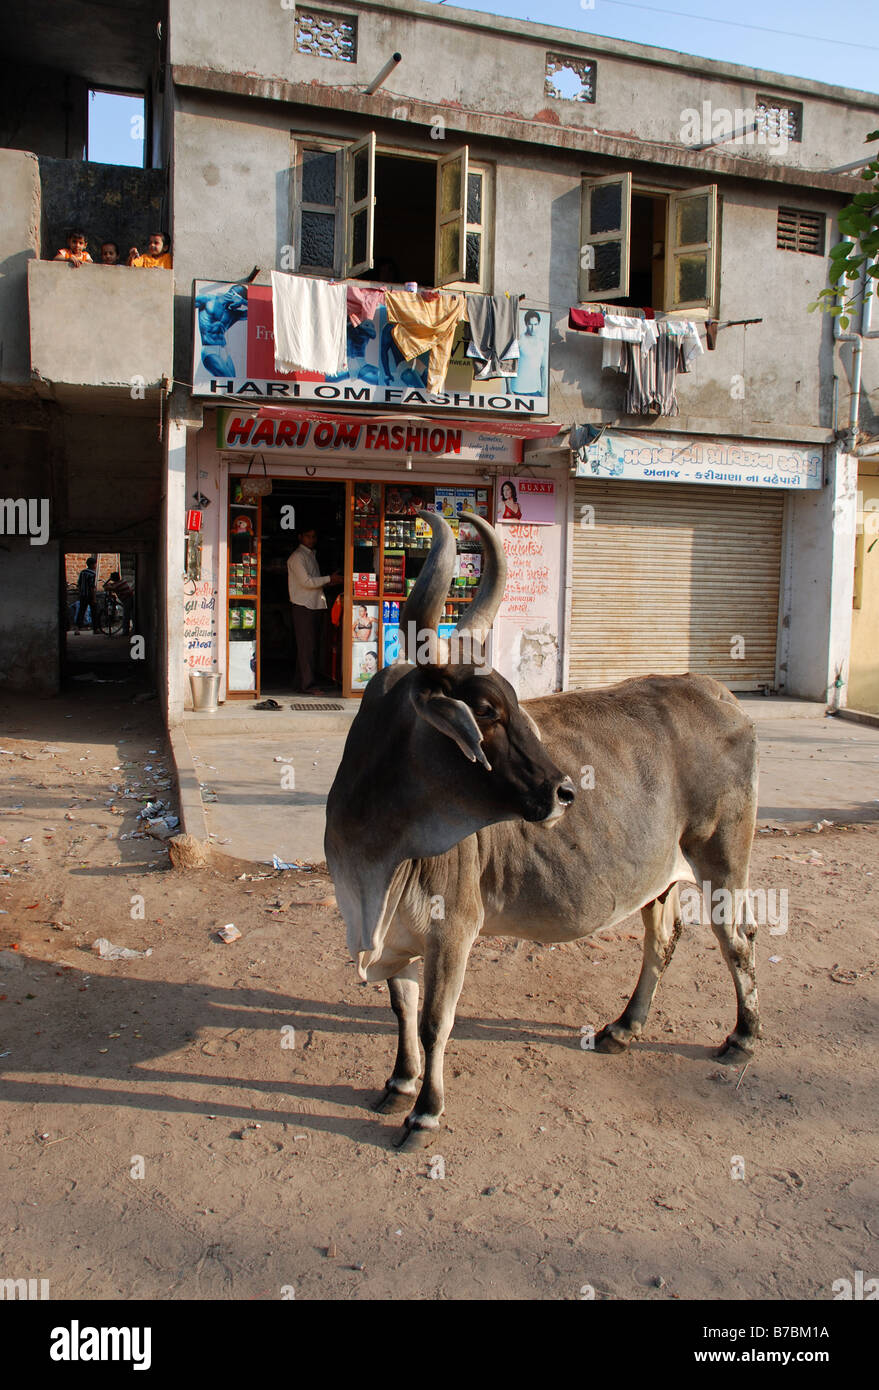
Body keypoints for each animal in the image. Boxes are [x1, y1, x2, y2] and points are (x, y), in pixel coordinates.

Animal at [325, 510, 760, 1148]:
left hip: (723, 859)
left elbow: (434, 1023)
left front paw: (425, 1112)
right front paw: (399, 1084)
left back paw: (744, 1036)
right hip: (660, 878)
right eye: (485, 710)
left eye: (511, 699)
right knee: (663, 940)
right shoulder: (396, 938)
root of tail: (716, 691)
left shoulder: (453, 930)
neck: (376, 857)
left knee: (738, 938)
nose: (564, 792)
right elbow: (401, 1011)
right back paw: (623, 1028)